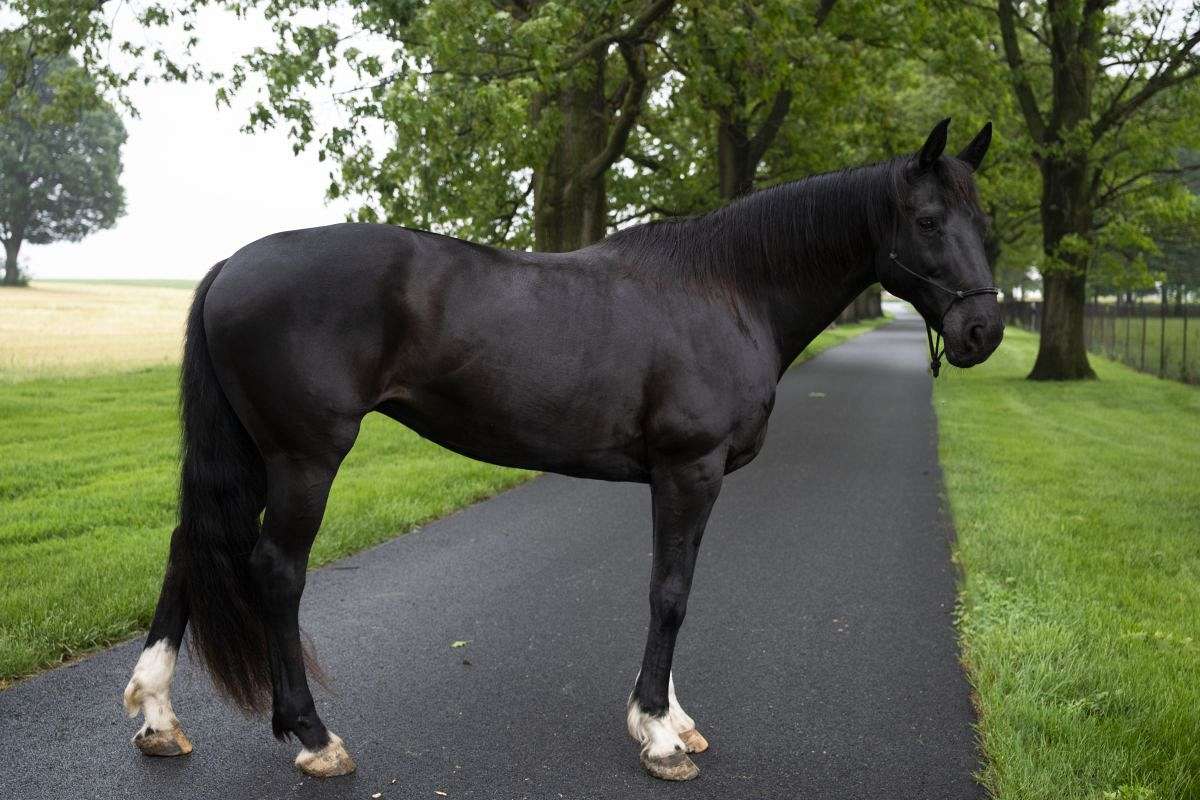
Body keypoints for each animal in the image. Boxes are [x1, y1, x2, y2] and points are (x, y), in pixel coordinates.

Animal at [122, 118, 1002, 782]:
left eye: (986, 226)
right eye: (929, 222)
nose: (982, 332)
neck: (727, 289)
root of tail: (233, 265)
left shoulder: (691, 479)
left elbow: (677, 586)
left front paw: (674, 718)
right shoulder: (689, 471)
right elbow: (670, 594)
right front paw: (657, 734)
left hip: (249, 454)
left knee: (189, 546)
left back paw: (159, 719)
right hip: (305, 457)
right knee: (274, 571)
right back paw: (313, 738)